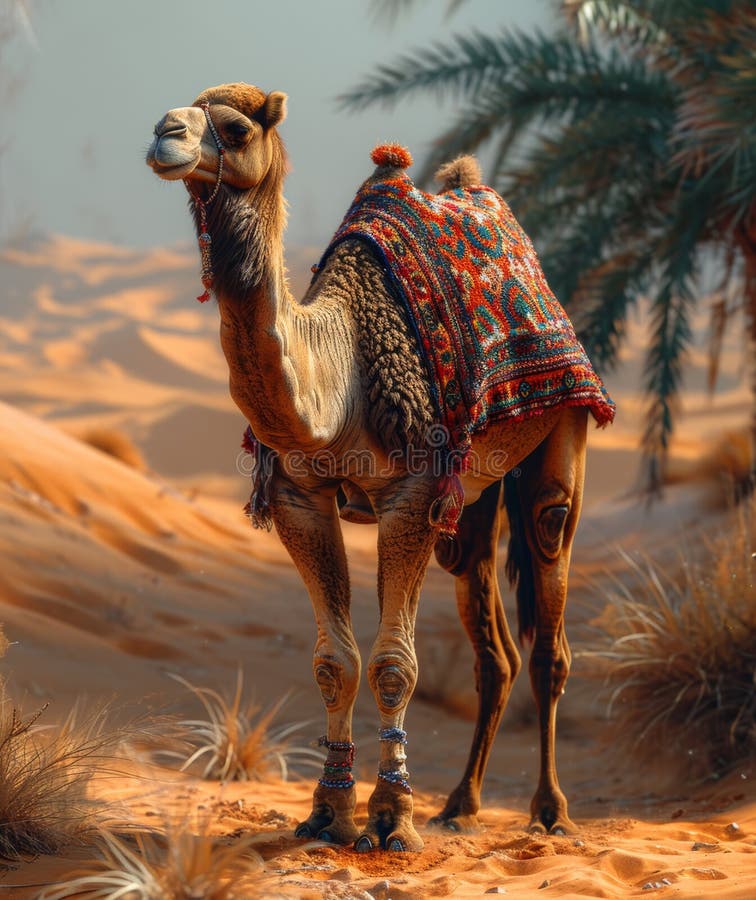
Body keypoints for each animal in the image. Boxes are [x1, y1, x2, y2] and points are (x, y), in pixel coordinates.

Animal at [146, 83, 614, 853]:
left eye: (236, 129)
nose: (164, 133)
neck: (343, 378)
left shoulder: (410, 491)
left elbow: (395, 666)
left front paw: (392, 819)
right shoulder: (300, 496)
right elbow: (334, 663)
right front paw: (328, 815)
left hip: (562, 435)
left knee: (549, 629)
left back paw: (549, 811)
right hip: (470, 500)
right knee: (494, 650)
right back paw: (460, 804)